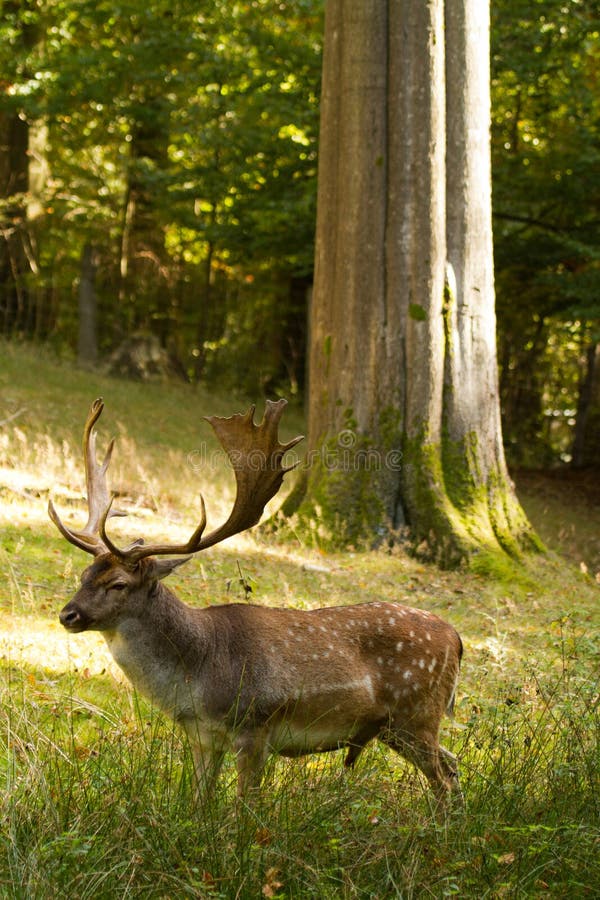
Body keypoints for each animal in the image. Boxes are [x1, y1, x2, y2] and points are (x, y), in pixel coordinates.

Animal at [49, 398, 463, 806]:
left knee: (443, 779)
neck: (198, 678)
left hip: (416, 713)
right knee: (453, 764)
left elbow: (244, 808)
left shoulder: (255, 727)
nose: (68, 614)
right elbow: (199, 804)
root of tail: (457, 640)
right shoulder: (202, 737)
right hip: (398, 727)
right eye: (84, 575)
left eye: (118, 584)